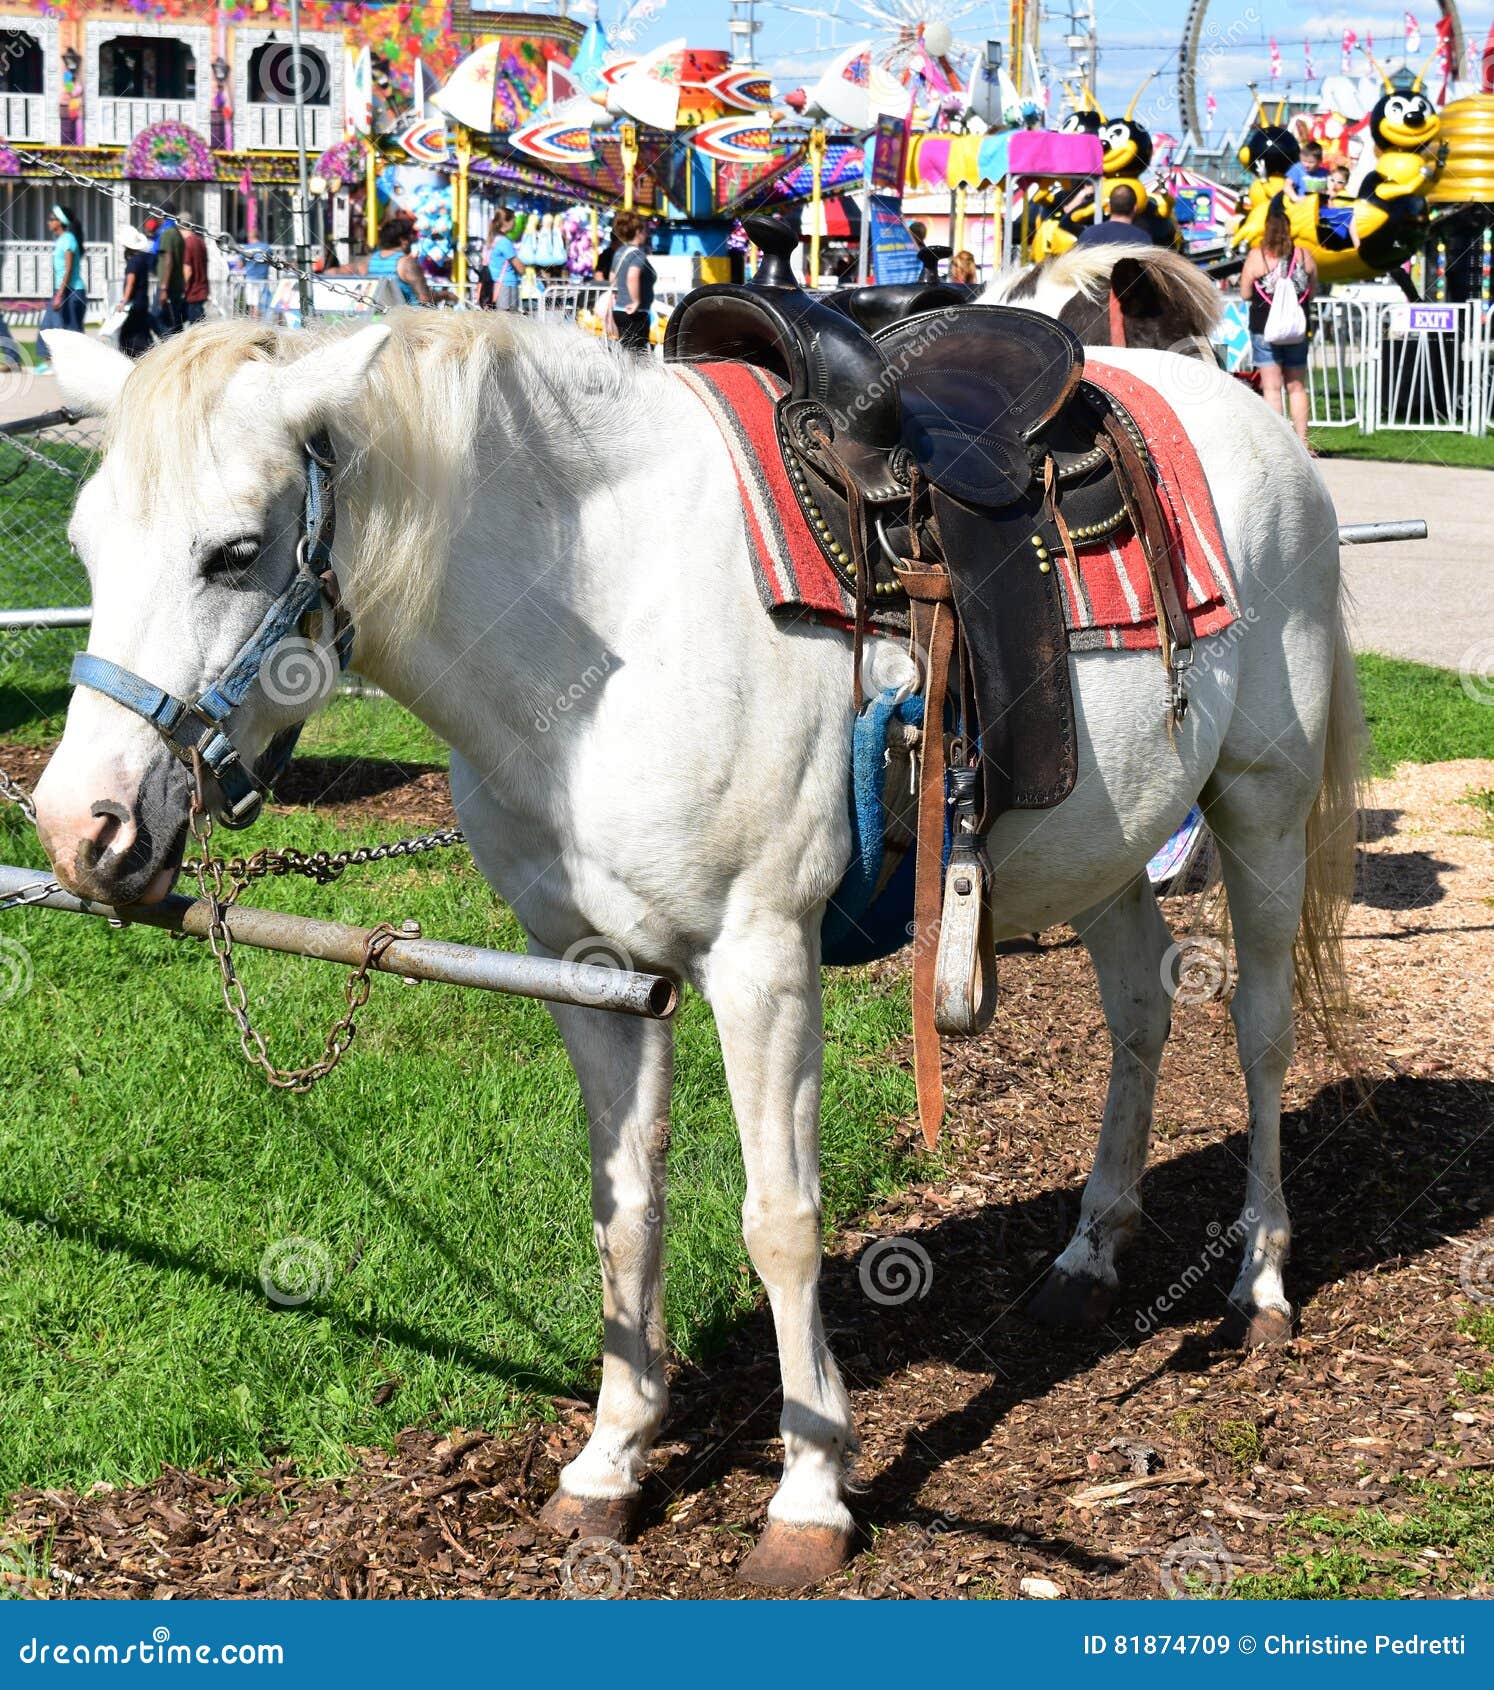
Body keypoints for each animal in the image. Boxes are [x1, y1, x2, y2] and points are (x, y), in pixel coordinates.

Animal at [33, 313, 1359, 1588]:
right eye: (86, 549)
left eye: (235, 550)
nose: (78, 827)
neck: (605, 633)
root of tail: (1251, 413)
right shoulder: (586, 971)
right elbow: (625, 1209)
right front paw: (609, 1463)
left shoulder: (762, 965)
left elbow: (781, 1221)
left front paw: (810, 1496)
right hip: (1106, 839)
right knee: (1140, 1007)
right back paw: (1090, 1252)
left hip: (1261, 802)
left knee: (1260, 1030)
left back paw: (1262, 1283)